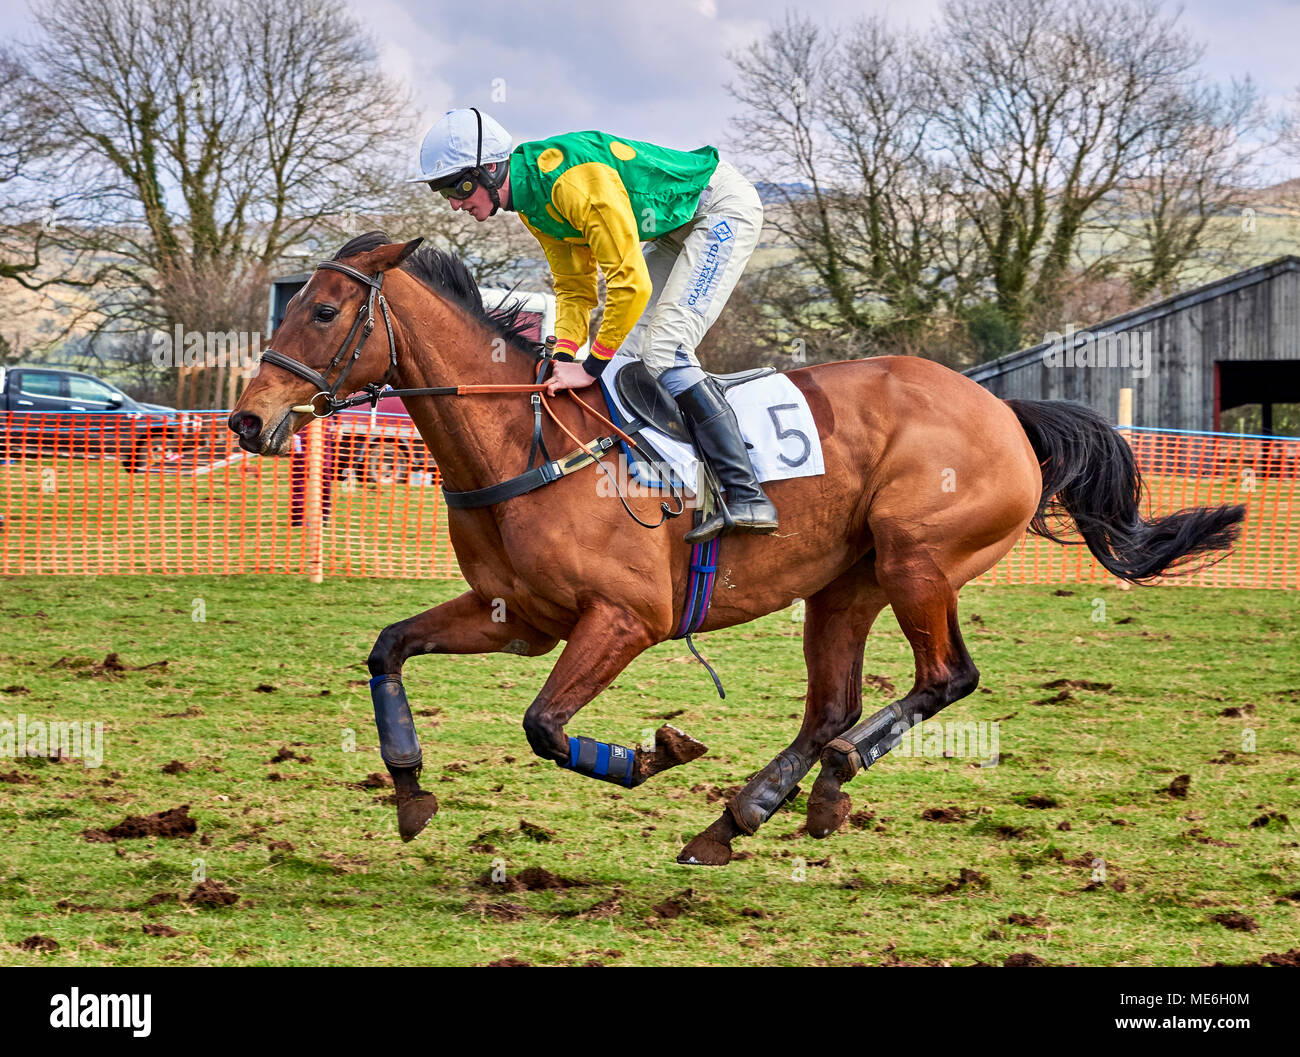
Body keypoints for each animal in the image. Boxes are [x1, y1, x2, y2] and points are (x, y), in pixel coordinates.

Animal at [228, 232, 1245, 866]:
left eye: (324, 313)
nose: (247, 419)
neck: (528, 443)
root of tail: (1004, 411)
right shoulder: (514, 616)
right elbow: (389, 647)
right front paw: (407, 788)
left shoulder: (623, 618)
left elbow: (545, 726)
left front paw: (653, 754)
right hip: (844, 585)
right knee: (833, 705)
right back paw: (743, 815)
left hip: (918, 561)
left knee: (944, 678)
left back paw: (823, 784)